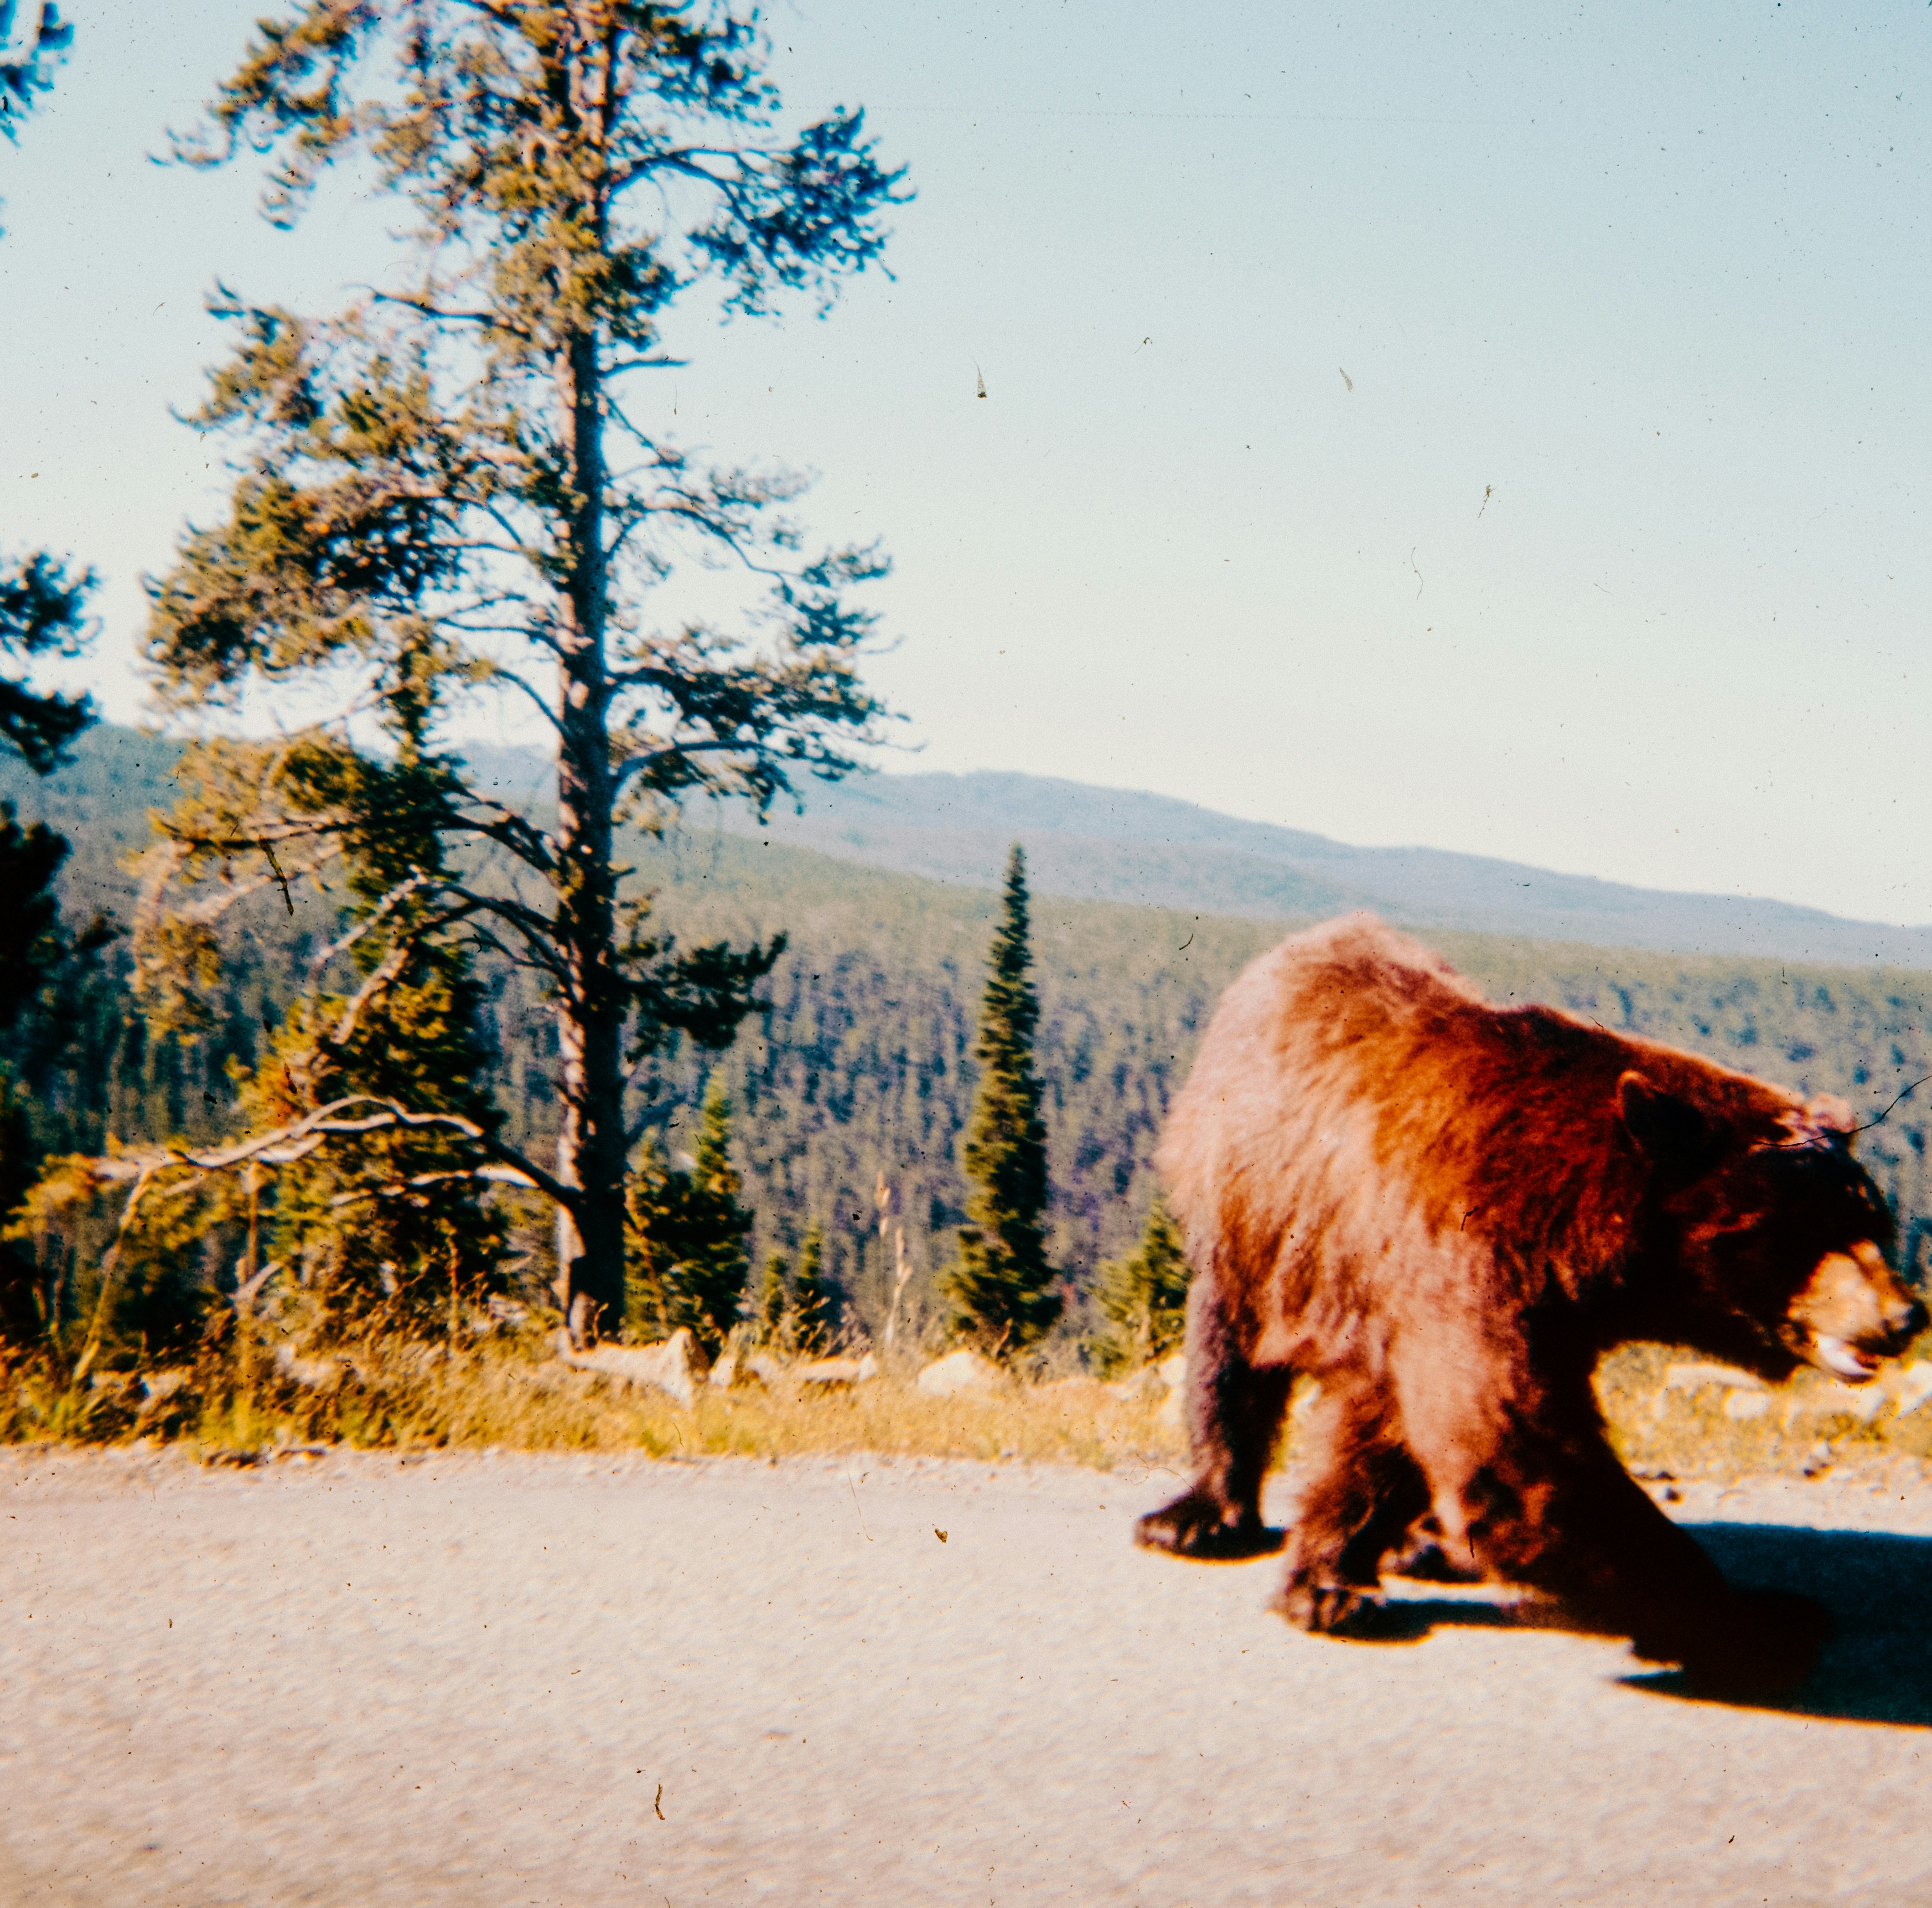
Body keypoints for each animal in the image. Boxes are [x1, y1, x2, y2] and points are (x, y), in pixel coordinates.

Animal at [1136, 914, 1925, 1690]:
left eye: (1872, 1219)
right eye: (1807, 1229)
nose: (1902, 1316)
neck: (1574, 1225)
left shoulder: (1484, 1304)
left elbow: (1401, 1429)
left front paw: (1332, 1573)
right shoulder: (1464, 1254)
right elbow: (1516, 1453)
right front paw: (1763, 1619)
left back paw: (1422, 1545)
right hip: (1248, 1215)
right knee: (1228, 1351)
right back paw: (1198, 1516)